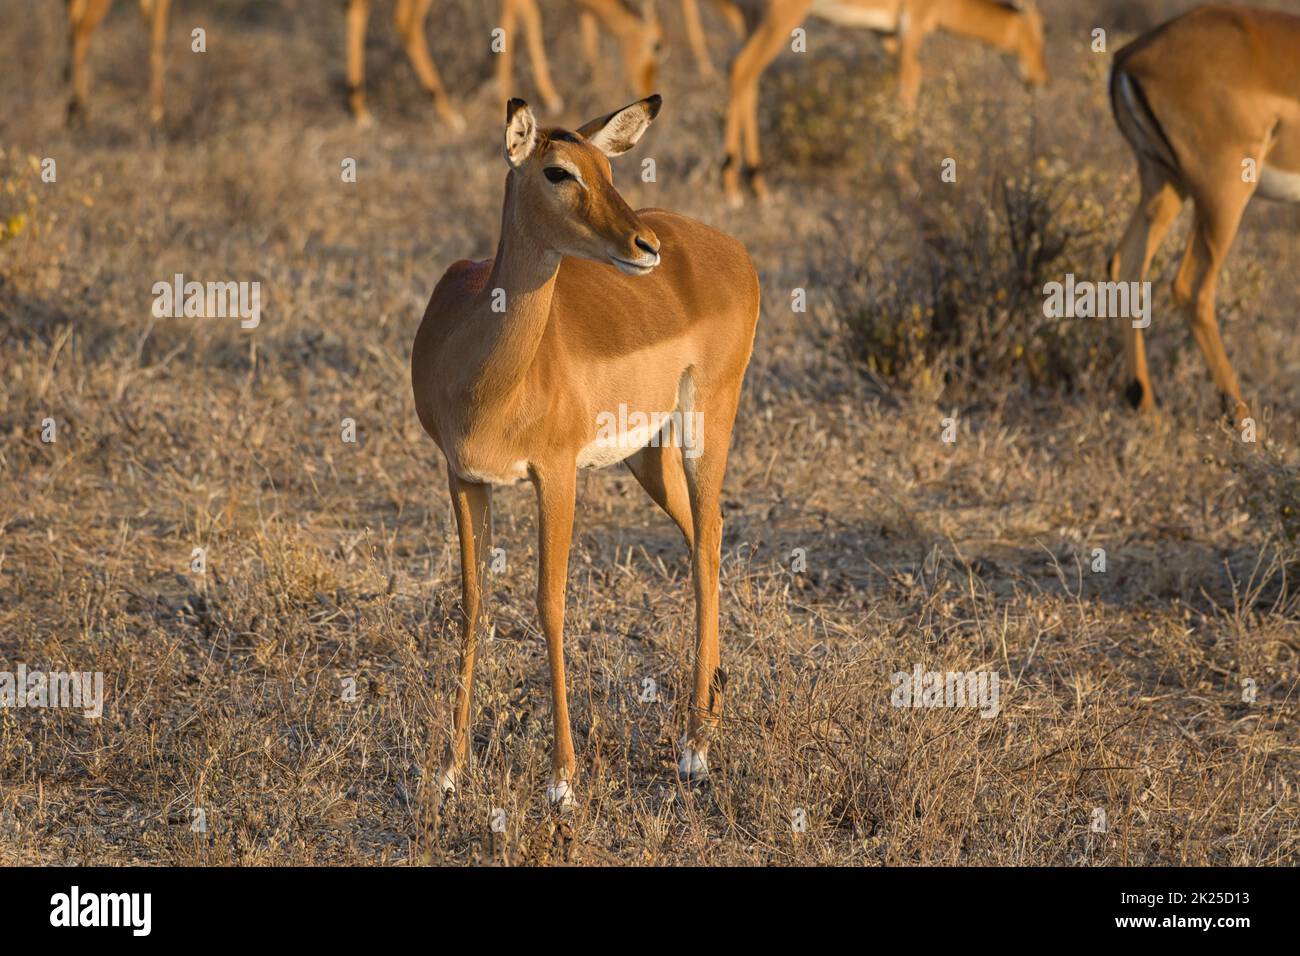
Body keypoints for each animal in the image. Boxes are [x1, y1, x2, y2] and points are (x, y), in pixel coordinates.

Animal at [411, 95, 760, 806]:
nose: (644, 246)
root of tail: (733, 249)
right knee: (702, 538)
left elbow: (551, 605)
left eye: (607, 168)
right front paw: (451, 770)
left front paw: (563, 781)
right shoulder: (463, 476)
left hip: (706, 425)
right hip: (647, 455)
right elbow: (472, 604)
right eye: (559, 171)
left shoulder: (556, 474)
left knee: (708, 540)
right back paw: (708, 715)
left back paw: (695, 749)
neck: (480, 370)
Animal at [721, 0, 1049, 205]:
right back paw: (734, 190)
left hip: (753, 19)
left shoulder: (886, 37)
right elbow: (907, 95)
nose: (1041, 78)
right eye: (1041, 26)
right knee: (741, 68)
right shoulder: (911, 32)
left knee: (749, 80)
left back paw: (757, 186)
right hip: (781, 17)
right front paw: (908, 183)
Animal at [1108, 4, 1300, 427]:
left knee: (1124, 266)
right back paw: (1245, 424)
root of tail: (1130, 57)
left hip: (1163, 180)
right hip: (1222, 195)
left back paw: (1147, 408)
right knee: (1191, 288)